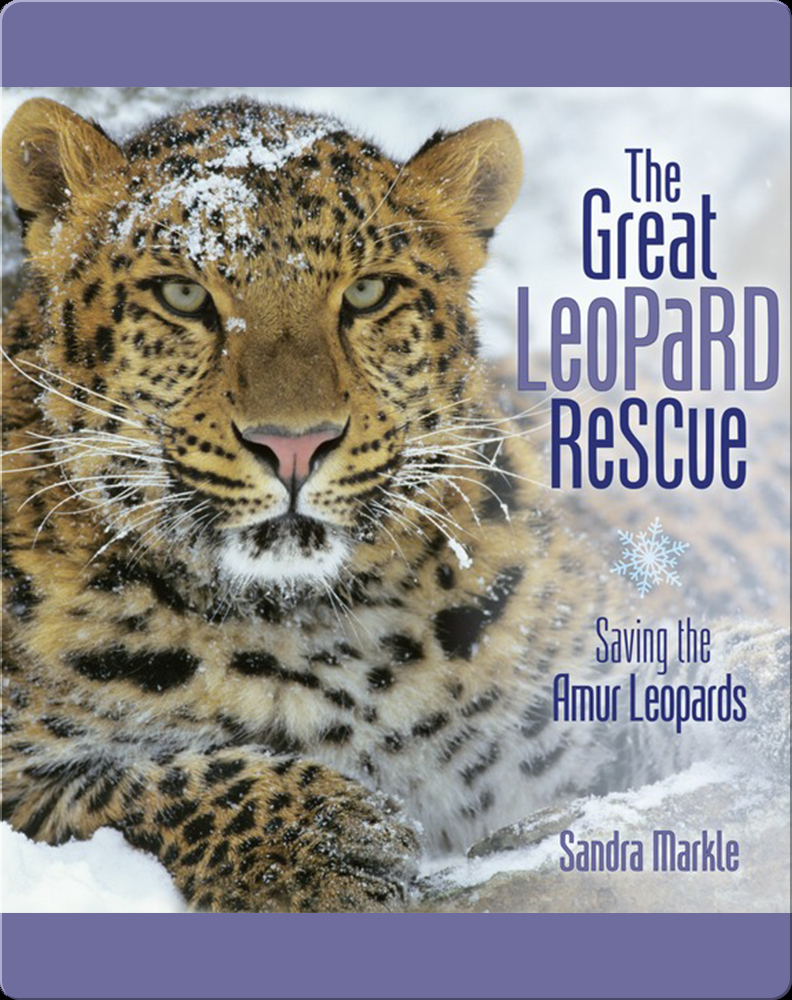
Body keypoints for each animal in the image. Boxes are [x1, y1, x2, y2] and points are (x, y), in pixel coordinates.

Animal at [2, 96, 789, 912]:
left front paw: (772, 677)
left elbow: (676, 667)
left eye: (368, 293)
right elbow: (148, 786)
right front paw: (321, 850)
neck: (316, 626)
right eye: (182, 296)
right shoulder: (19, 775)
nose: (294, 445)